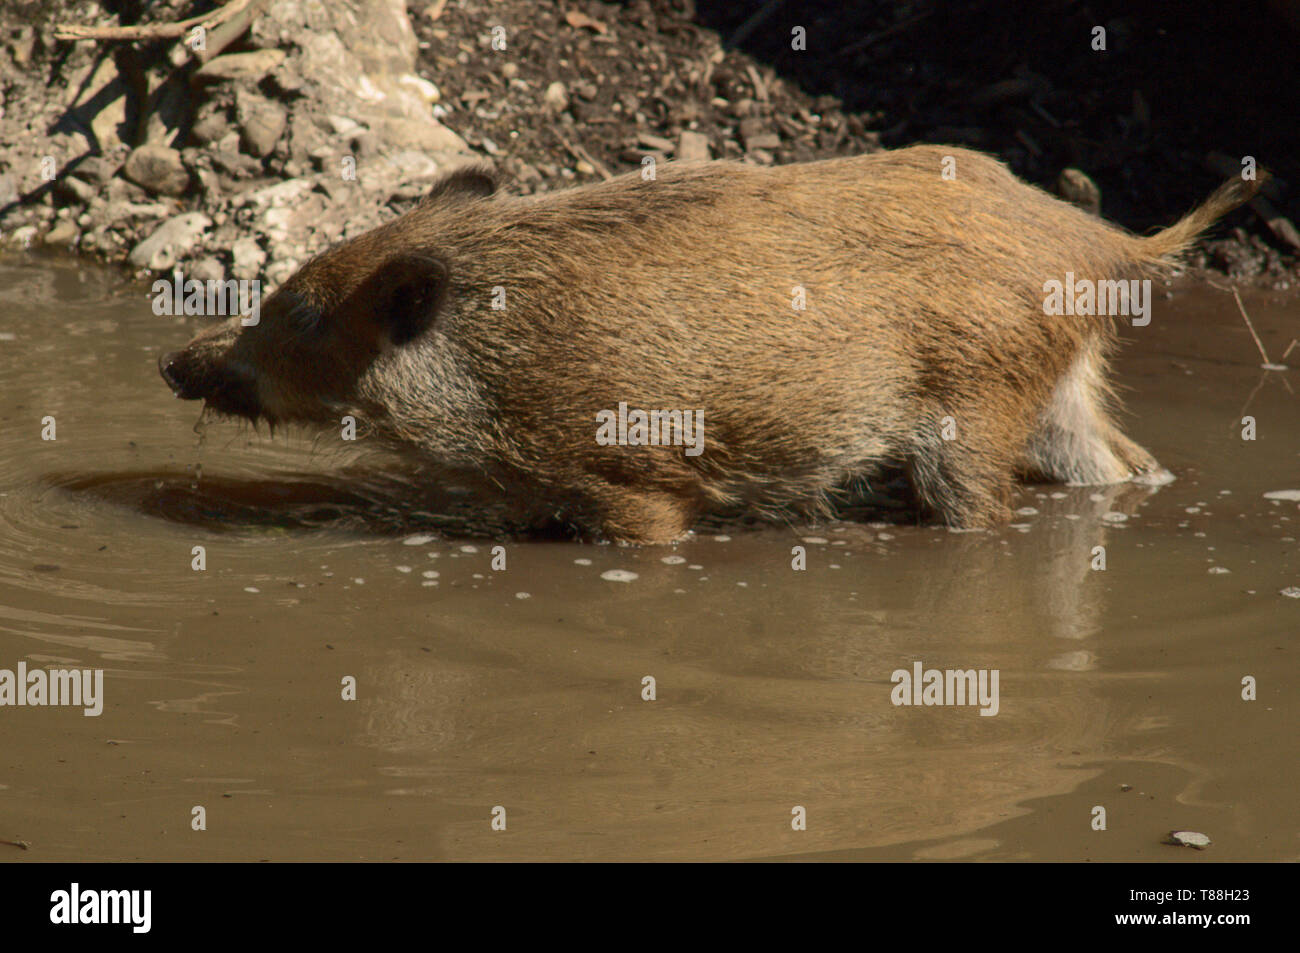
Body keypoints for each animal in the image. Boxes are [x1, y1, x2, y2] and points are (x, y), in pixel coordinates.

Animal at [159, 145, 1263, 543]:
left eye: (305, 315)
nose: (174, 359)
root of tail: (1103, 243)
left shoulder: (631, 476)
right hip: (1060, 392)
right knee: (1121, 466)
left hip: (977, 403)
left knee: (985, 503)